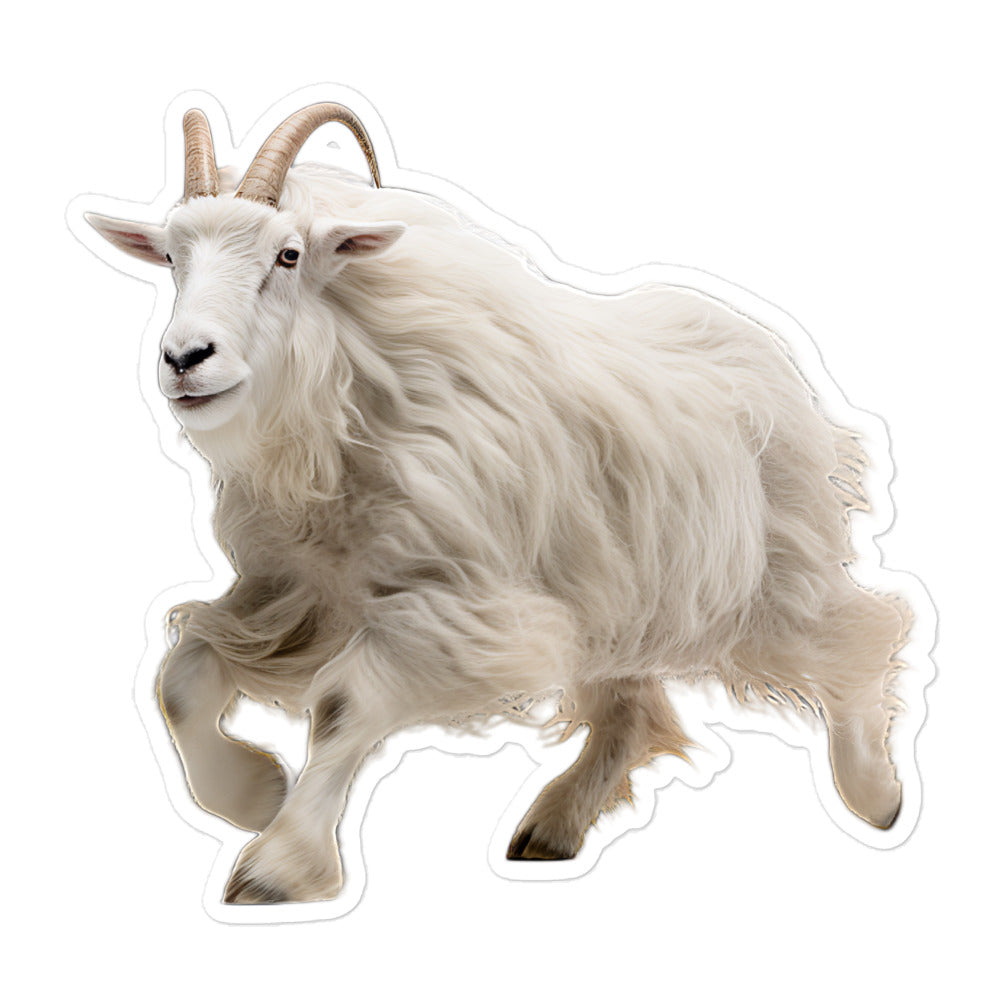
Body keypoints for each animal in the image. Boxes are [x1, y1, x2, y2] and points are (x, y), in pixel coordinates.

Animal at [86, 102, 909, 905]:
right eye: (171, 257)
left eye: (288, 256)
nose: (185, 359)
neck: (348, 399)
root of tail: (768, 353)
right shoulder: (300, 591)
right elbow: (181, 681)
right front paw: (253, 794)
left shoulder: (456, 604)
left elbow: (344, 704)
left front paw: (280, 865)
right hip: (618, 593)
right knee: (631, 707)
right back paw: (555, 826)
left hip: (768, 570)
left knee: (856, 635)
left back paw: (876, 793)